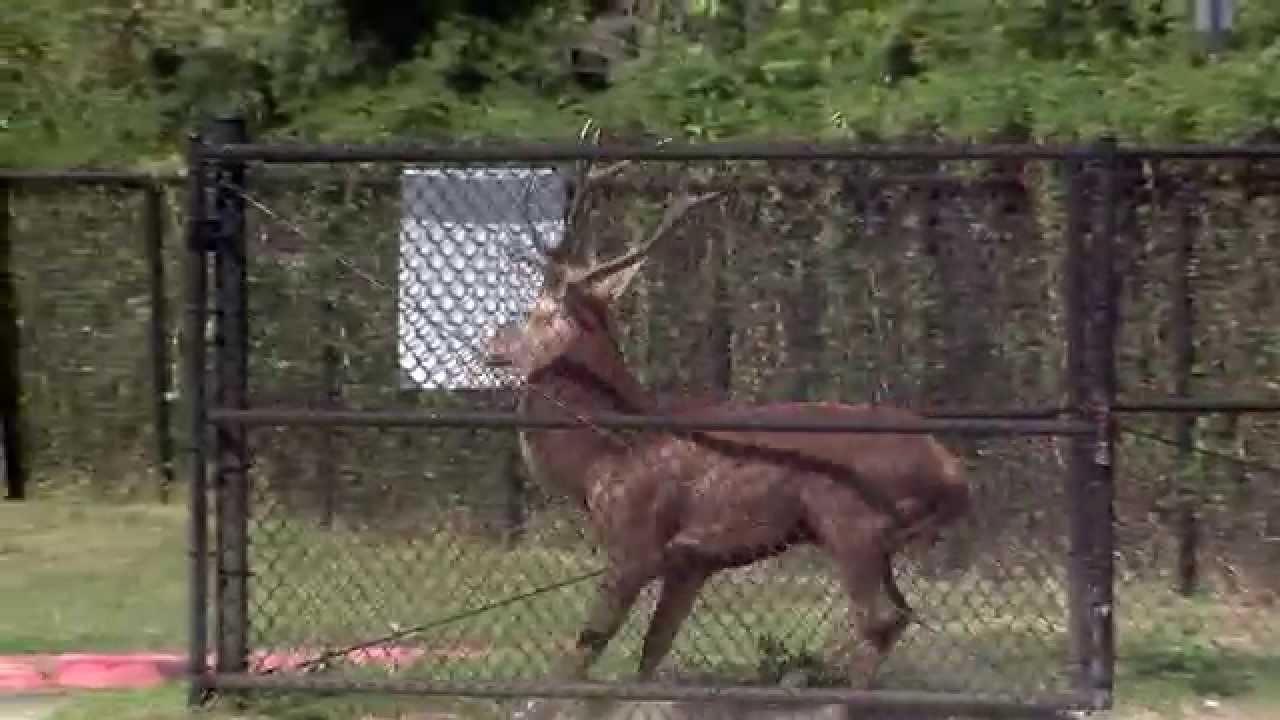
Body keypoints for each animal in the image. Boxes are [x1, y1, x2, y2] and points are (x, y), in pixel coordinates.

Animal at [483, 136, 972, 699]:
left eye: (536, 312)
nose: (491, 345)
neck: (601, 460)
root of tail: (954, 473)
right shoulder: (691, 562)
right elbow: (649, 660)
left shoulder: (635, 544)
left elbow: (579, 659)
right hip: (877, 539)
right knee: (898, 616)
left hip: (850, 522)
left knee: (880, 619)